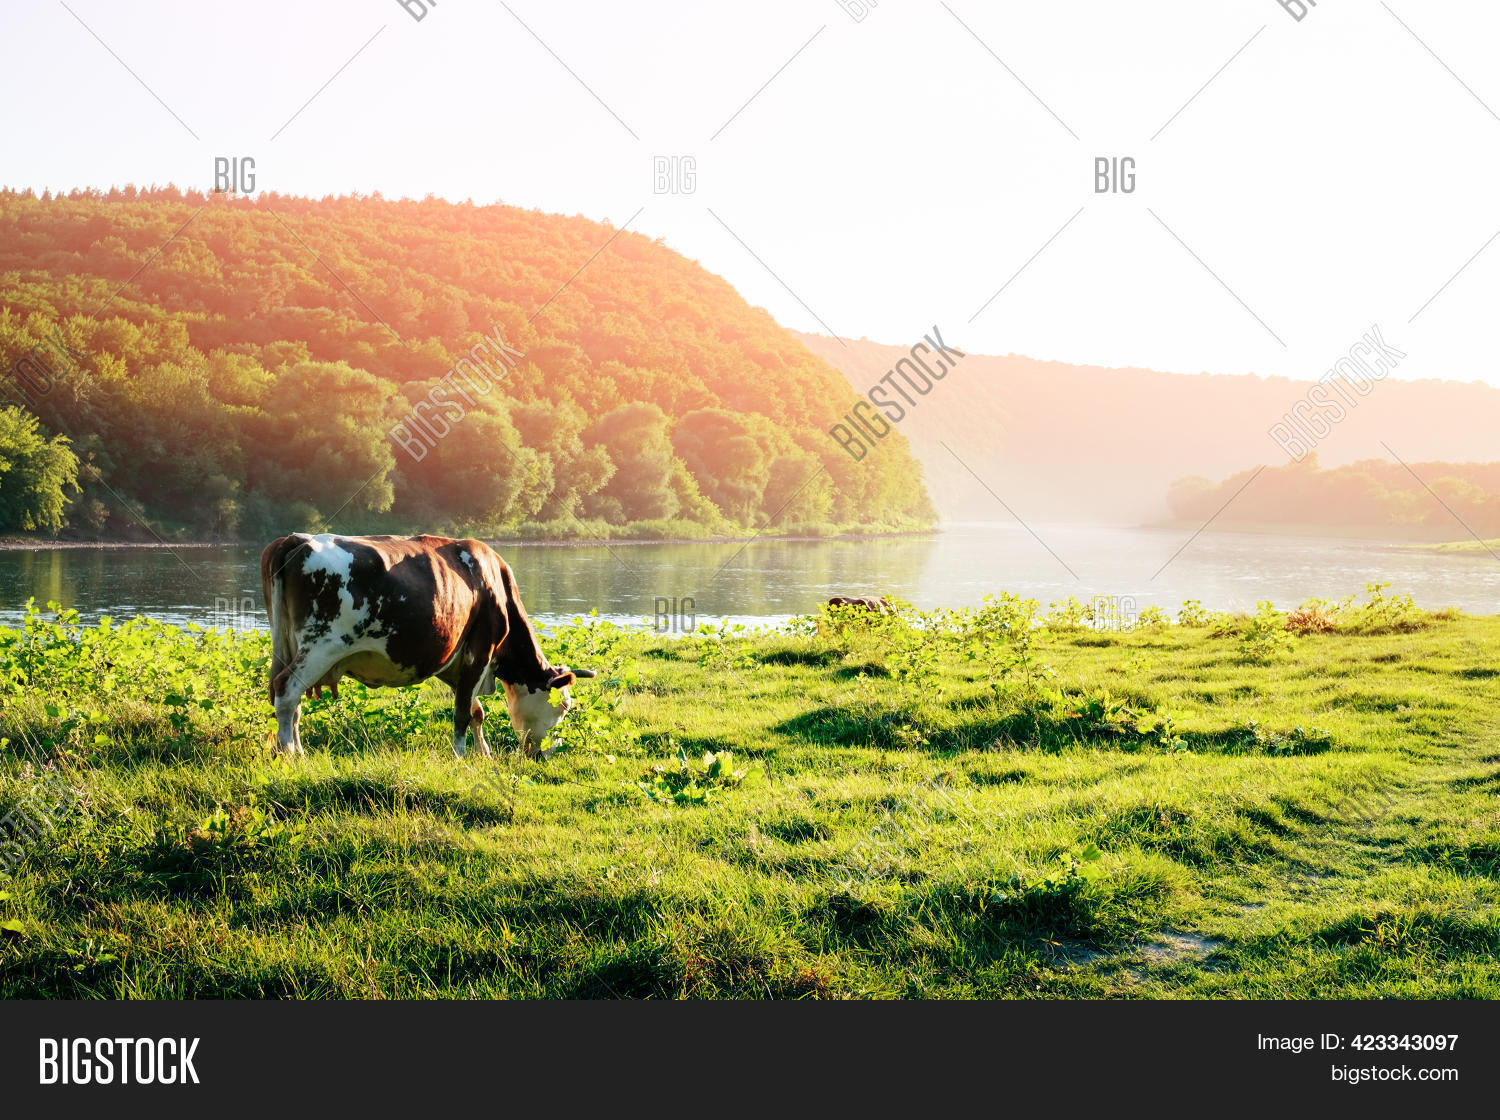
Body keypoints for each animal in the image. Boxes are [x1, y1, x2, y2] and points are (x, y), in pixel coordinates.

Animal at [260, 533, 594, 759]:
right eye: (564, 707)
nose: (545, 754)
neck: (495, 583)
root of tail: (297, 539)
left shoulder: (453, 661)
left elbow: (476, 710)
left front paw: (483, 753)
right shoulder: (480, 652)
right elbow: (462, 712)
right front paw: (460, 754)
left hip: (289, 646)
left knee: (289, 700)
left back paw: (297, 750)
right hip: (321, 645)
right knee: (287, 690)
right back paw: (288, 751)